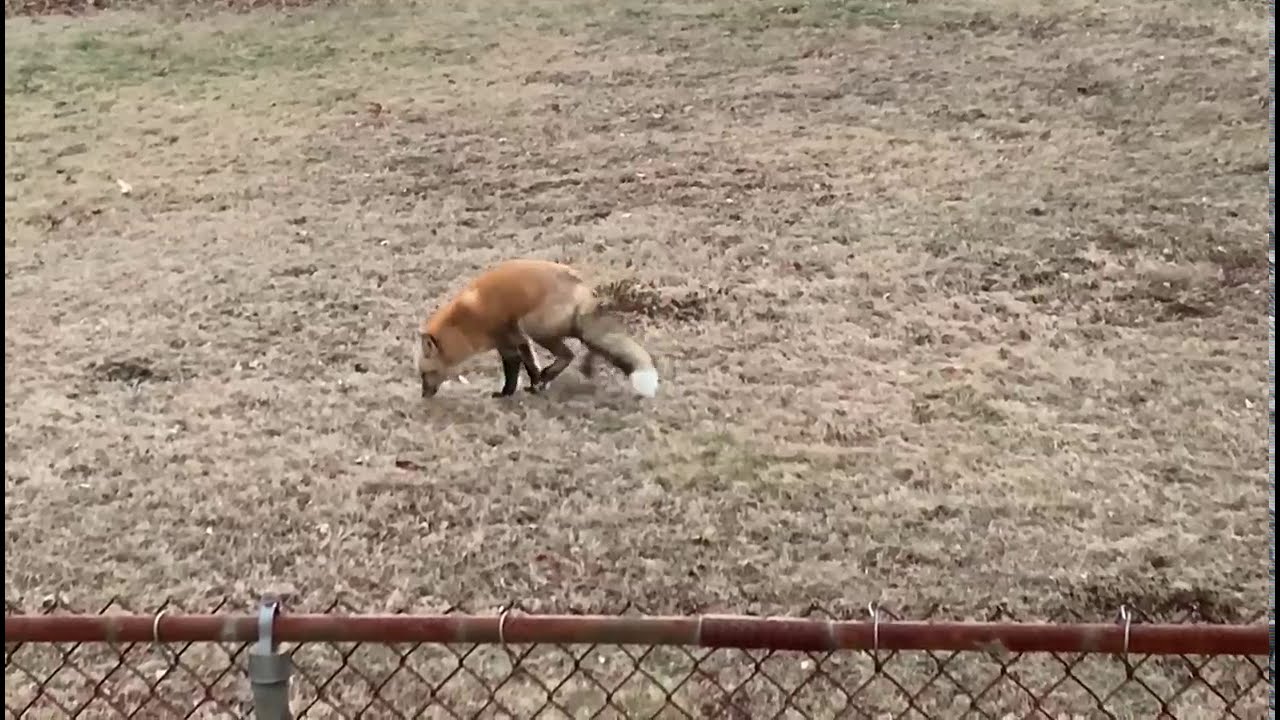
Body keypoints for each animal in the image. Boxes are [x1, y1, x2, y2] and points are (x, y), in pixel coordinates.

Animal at [414, 259, 660, 400]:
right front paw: (535, 385)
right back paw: (582, 368)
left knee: (569, 354)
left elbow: (513, 371)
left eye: (425, 374)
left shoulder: (508, 340)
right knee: (592, 347)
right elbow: (530, 365)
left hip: (535, 326)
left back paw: (554, 372)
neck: (463, 325)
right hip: (566, 330)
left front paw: (506, 393)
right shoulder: (518, 340)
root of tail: (583, 286)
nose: (424, 396)